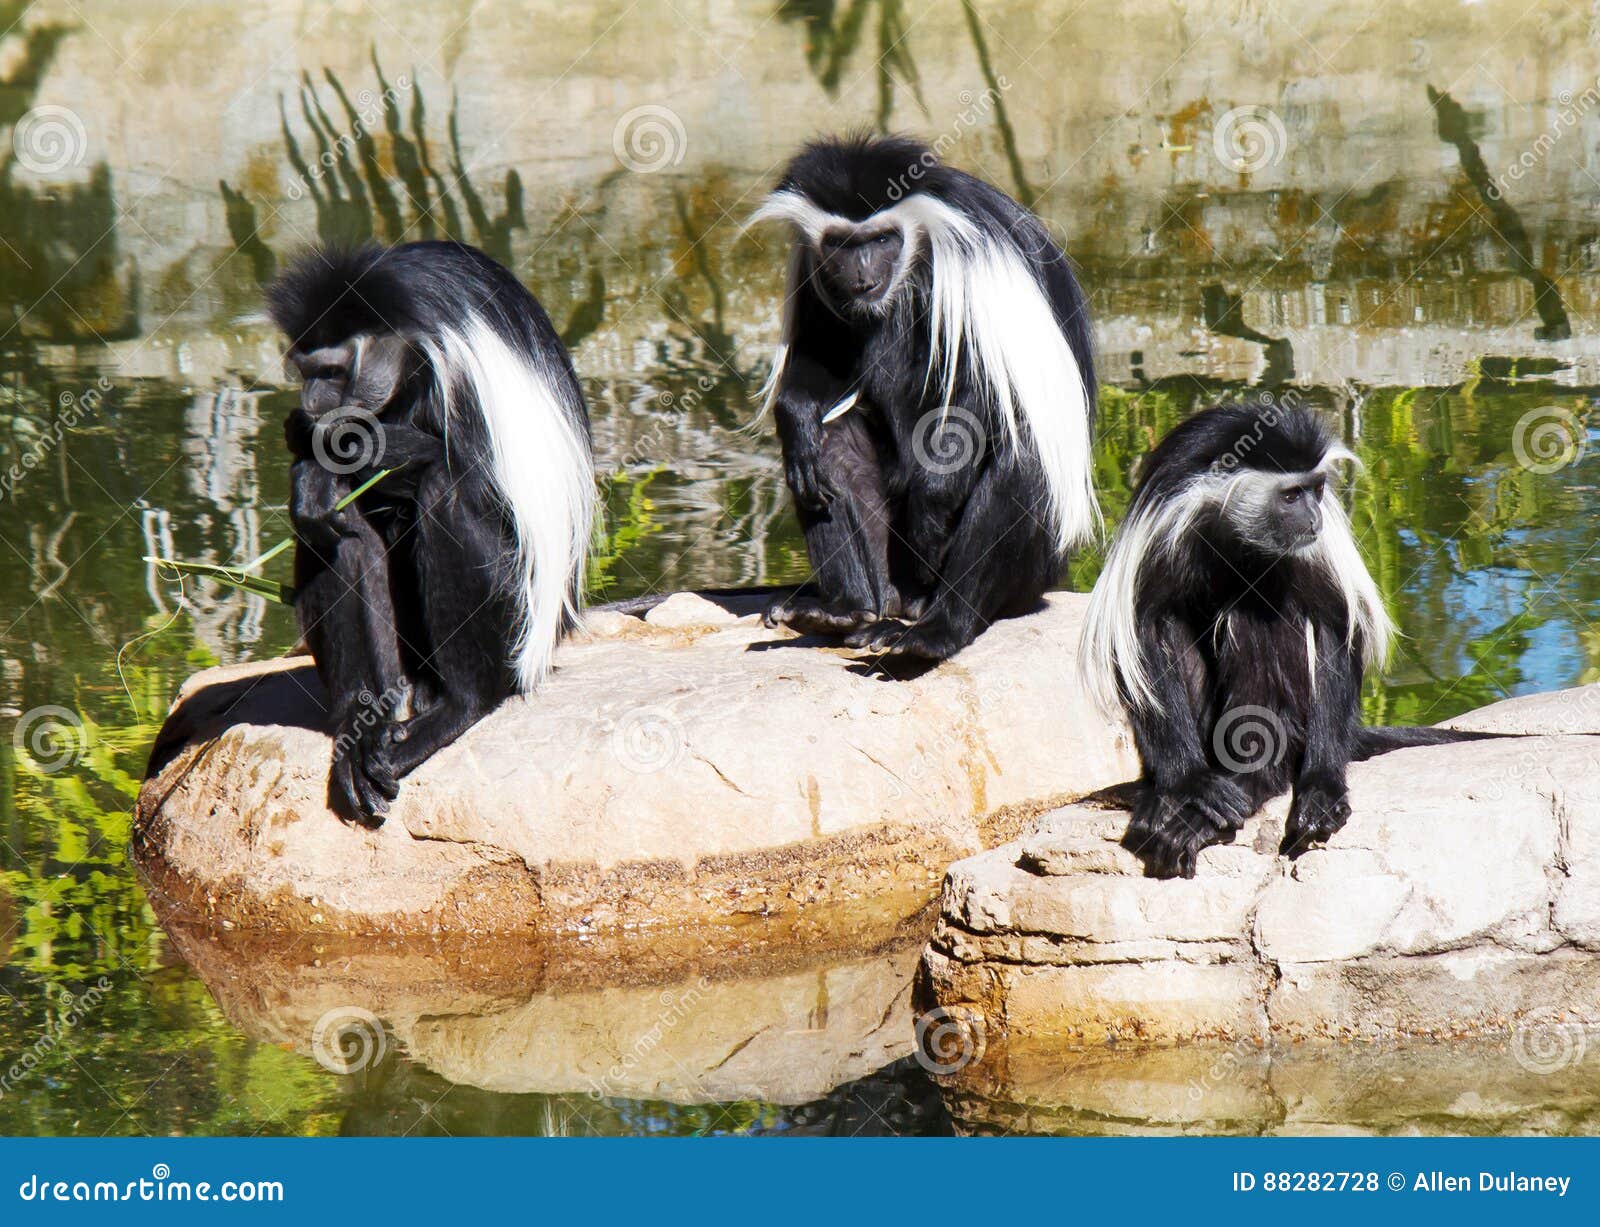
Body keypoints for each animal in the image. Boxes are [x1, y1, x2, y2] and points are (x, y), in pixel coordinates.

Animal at [267, 240, 594, 827]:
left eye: (332, 370)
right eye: (305, 370)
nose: (312, 402)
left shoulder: (459, 363)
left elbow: (479, 477)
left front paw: (325, 450)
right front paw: (311, 465)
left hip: (516, 610)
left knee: (444, 490)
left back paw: (455, 710)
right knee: (336, 532)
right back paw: (362, 726)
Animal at [747, 134, 1099, 661]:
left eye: (882, 240)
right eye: (842, 244)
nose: (863, 275)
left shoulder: (969, 265)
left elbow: (979, 397)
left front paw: (931, 516)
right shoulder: (814, 267)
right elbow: (823, 350)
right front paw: (795, 414)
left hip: (1030, 567)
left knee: (1019, 462)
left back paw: (935, 632)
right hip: (887, 563)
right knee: (829, 441)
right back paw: (844, 610)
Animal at [1079, 401, 1497, 879]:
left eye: (1316, 490)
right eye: (1292, 496)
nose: (1315, 517)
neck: (1227, 529)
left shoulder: (1311, 551)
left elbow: (1336, 627)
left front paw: (1320, 789)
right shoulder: (1163, 533)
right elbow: (1145, 630)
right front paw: (1189, 785)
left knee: (1256, 613)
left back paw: (1252, 779)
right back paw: (1170, 797)